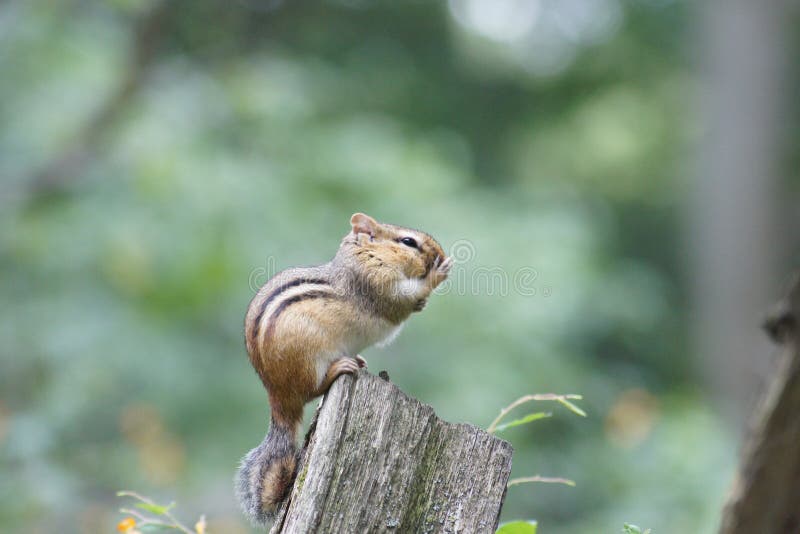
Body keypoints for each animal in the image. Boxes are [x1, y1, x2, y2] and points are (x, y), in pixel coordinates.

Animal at [235, 212, 452, 526]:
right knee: (314, 389)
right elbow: (400, 301)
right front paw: (439, 273)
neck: (365, 256)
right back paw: (340, 368)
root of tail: (278, 398)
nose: (441, 255)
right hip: (309, 359)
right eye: (408, 242)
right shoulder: (375, 283)